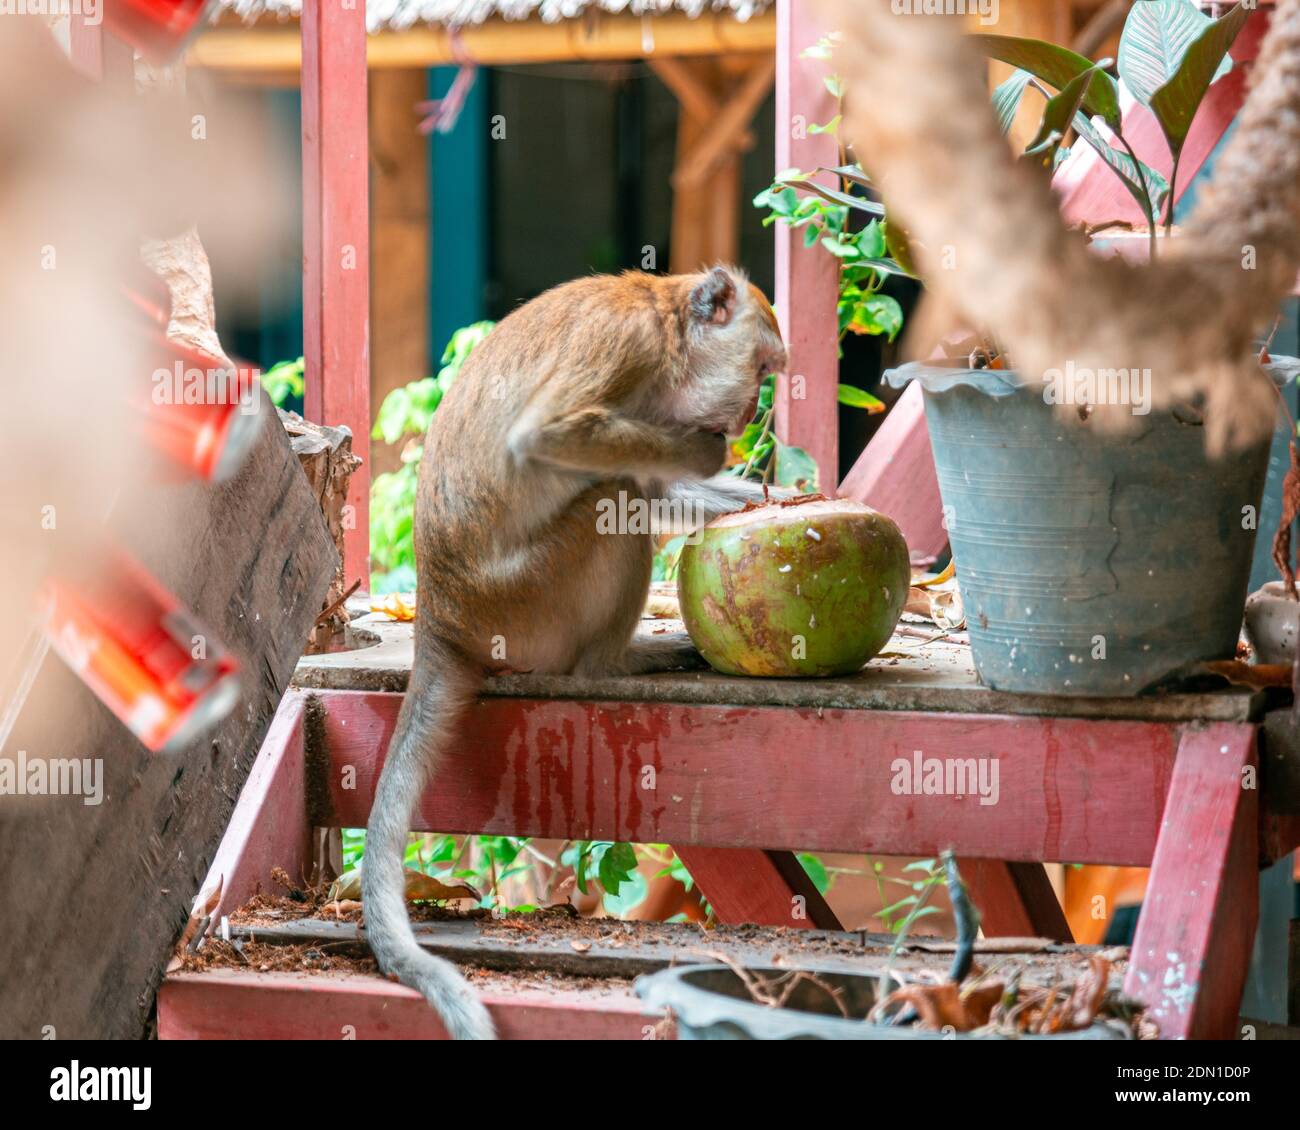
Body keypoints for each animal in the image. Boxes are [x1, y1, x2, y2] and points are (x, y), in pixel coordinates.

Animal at [361, 265, 788, 1039]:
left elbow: (654, 488)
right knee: (607, 495)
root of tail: (439, 617)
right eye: (763, 370)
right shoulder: (627, 345)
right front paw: (707, 455)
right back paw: (616, 663)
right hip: (528, 603)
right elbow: (549, 436)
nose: (749, 415)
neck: (669, 335)